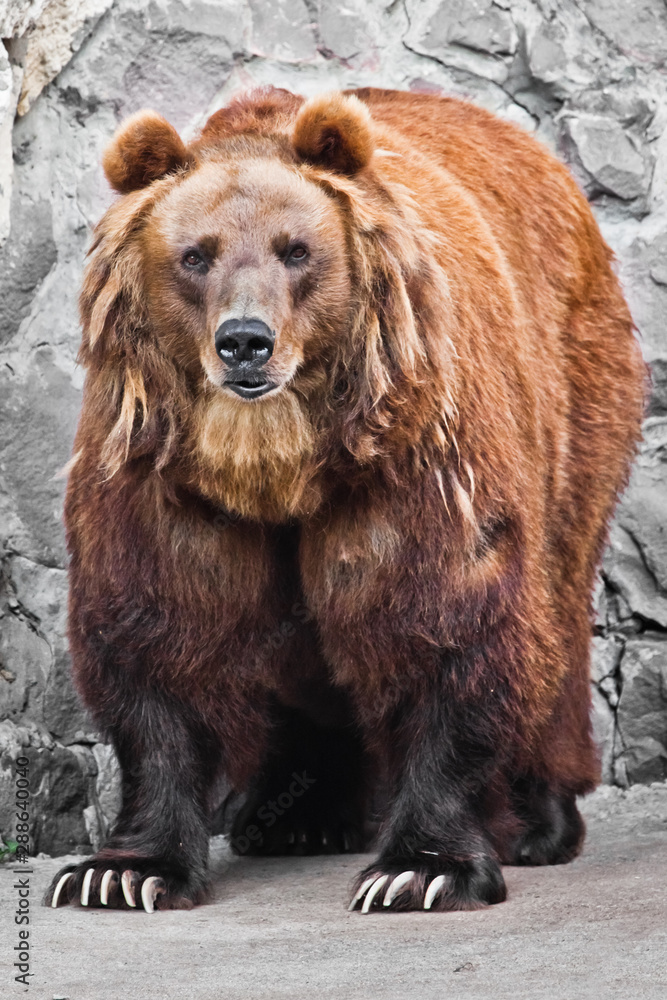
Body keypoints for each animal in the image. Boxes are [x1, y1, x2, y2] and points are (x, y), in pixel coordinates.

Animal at [46, 86, 645, 914]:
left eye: (295, 249)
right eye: (195, 254)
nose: (245, 341)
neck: (271, 458)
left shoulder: (412, 454)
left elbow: (440, 619)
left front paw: (420, 868)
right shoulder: (156, 469)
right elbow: (159, 635)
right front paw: (123, 871)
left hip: (573, 398)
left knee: (554, 597)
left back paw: (538, 818)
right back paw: (297, 814)